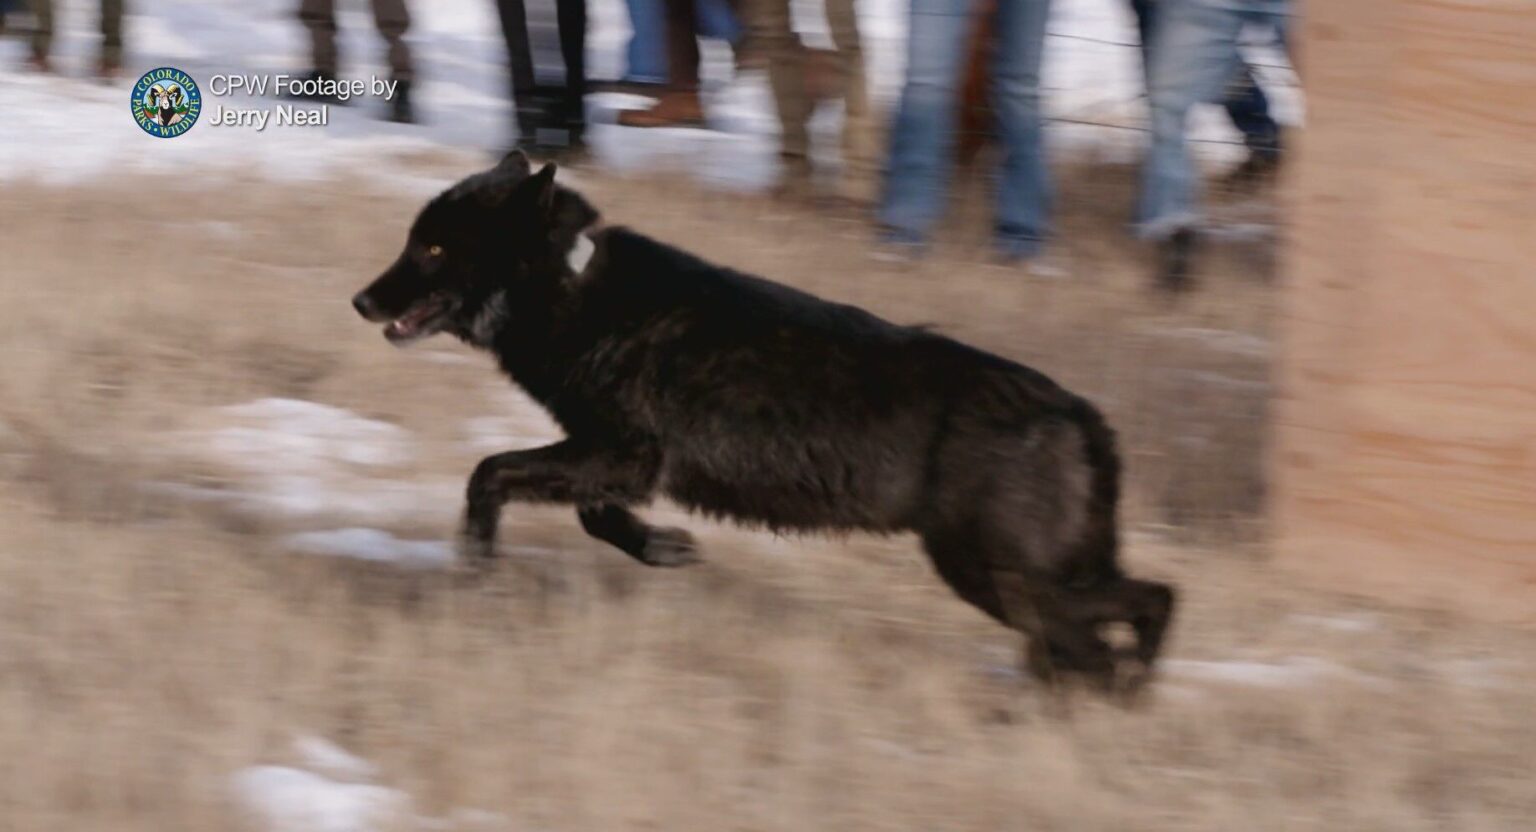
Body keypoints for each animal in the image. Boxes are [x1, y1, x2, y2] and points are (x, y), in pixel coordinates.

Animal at [351, 153, 1175, 690]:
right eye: (412, 240)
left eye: (432, 247)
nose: (360, 300)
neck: (574, 288)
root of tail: (1079, 411)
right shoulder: (617, 462)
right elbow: (595, 516)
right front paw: (663, 549)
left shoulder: (622, 454)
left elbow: (487, 475)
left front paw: (475, 571)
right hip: (1016, 578)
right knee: (1133, 611)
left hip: (995, 574)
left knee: (1129, 621)